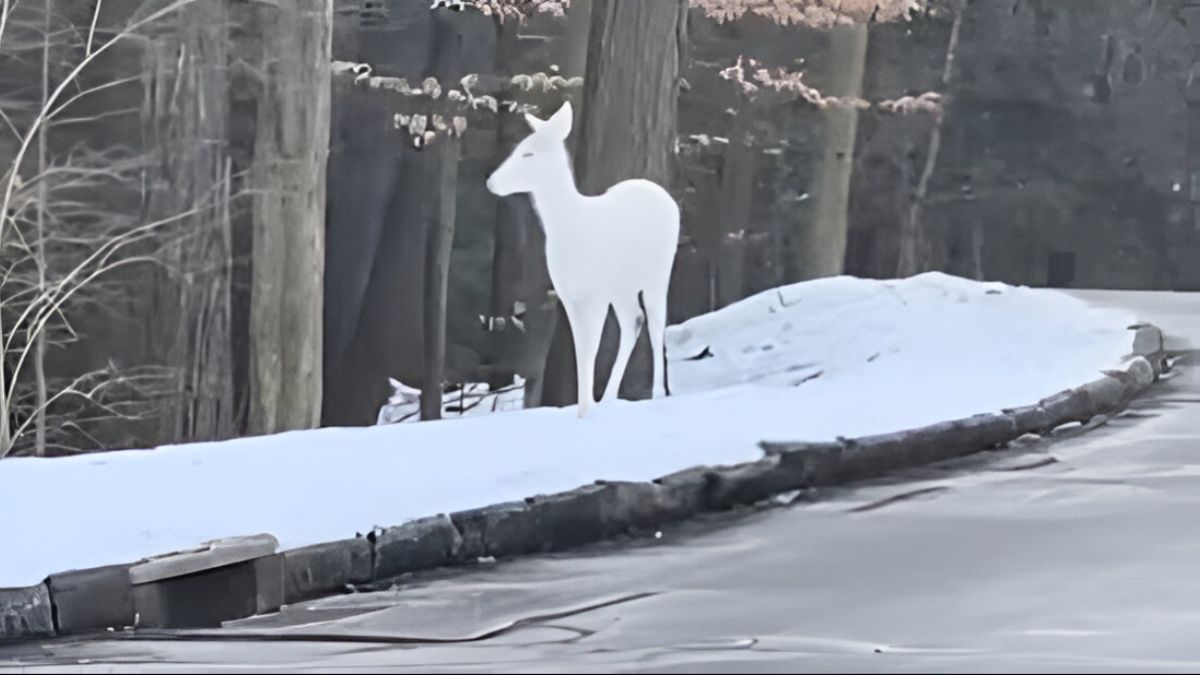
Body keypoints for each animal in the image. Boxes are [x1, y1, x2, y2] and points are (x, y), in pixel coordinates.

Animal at [486, 102, 680, 418]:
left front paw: (586, 412)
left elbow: (591, 348)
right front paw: (584, 409)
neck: (571, 227)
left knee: (655, 322)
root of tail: (666, 197)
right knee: (633, 320)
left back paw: (658, 393)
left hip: (658, 271)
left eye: (528, 153)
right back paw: (610, 399)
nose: (491, 182)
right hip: (621, 286)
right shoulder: (570, 296)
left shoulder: (595, 294)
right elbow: (581, 350)